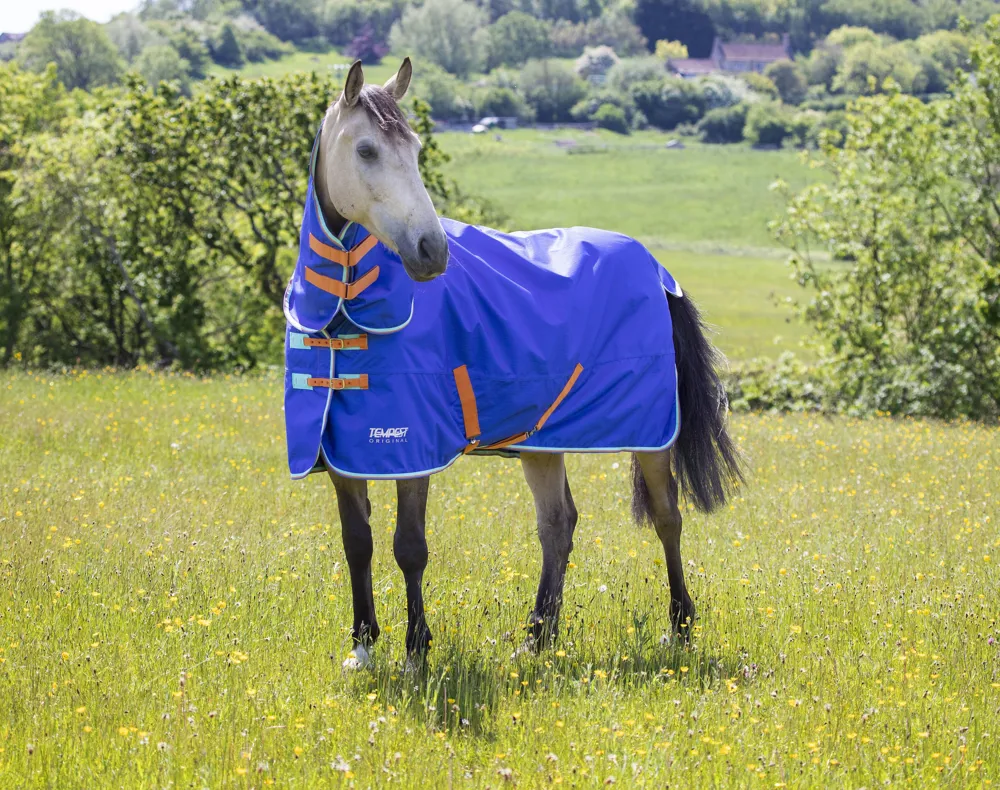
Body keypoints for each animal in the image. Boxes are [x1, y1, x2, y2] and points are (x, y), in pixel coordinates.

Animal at [285, 58, 744, 669]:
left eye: (416, 148)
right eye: (365, 150)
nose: (431, 251)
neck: (347, 312)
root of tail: (657, 271)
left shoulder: (413, 448)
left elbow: (409, 547)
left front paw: (416, 650)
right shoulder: (343, 452)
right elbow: (357, 543)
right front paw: (362, 645)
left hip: (649, 435)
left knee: (667, 517)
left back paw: (679, 627)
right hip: (543, 438)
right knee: (558, 525)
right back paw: (537, 635)